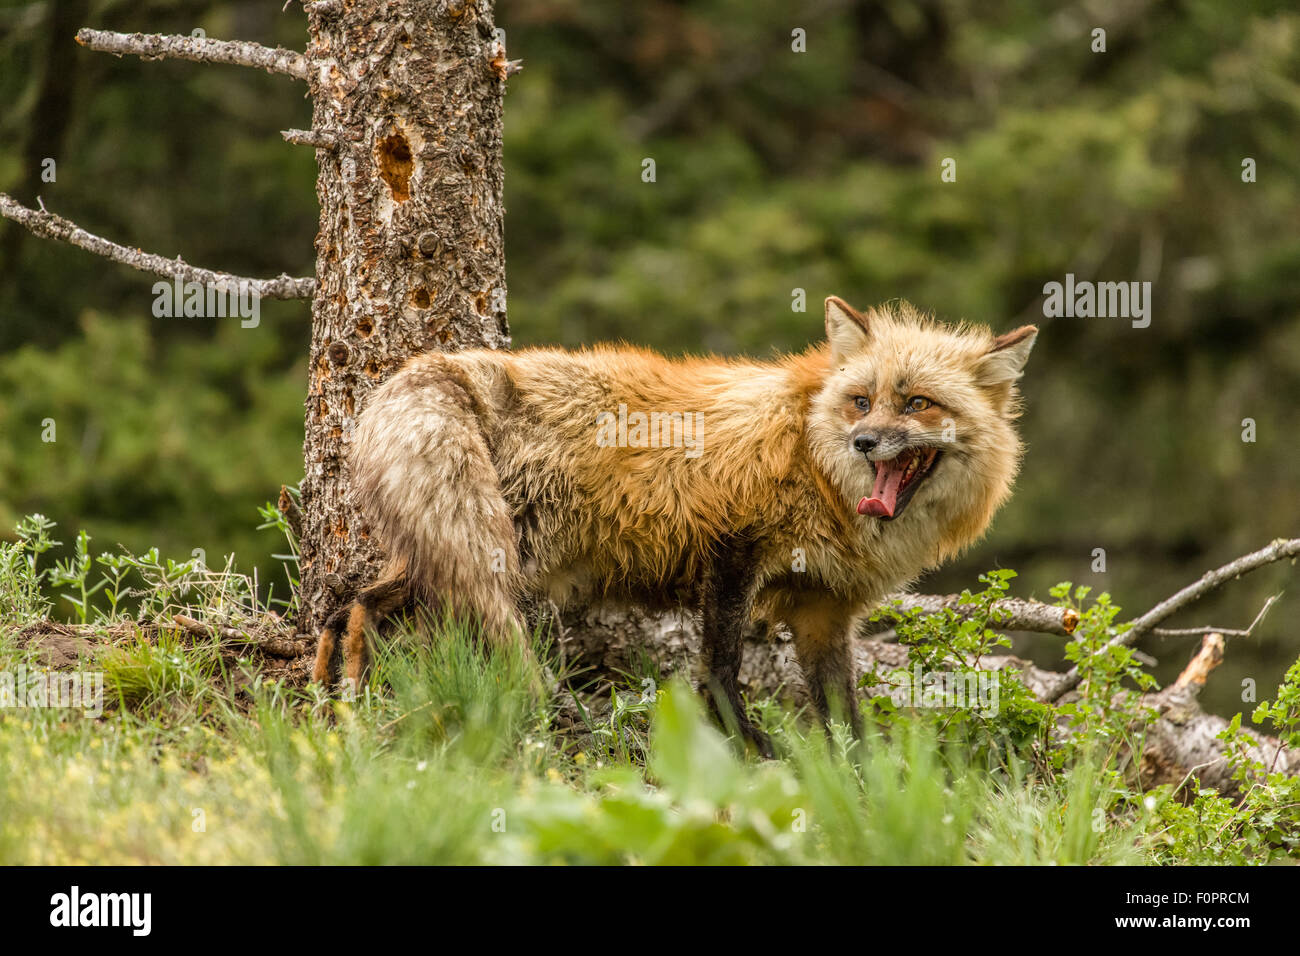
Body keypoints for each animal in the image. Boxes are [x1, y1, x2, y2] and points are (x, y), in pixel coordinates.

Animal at [312, 296, 1038, 754]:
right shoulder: (733, 546)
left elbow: (842, 712)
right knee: (376, 608)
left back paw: (344, 703)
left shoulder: (822, 608)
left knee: (355, 608)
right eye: (862, 401)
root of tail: (436, 365)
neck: (814, 465)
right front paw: (746, 744)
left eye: (916, 404)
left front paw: (861, 779)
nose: (863, 442)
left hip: (453, 561)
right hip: (491, 562)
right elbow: (720, 669)